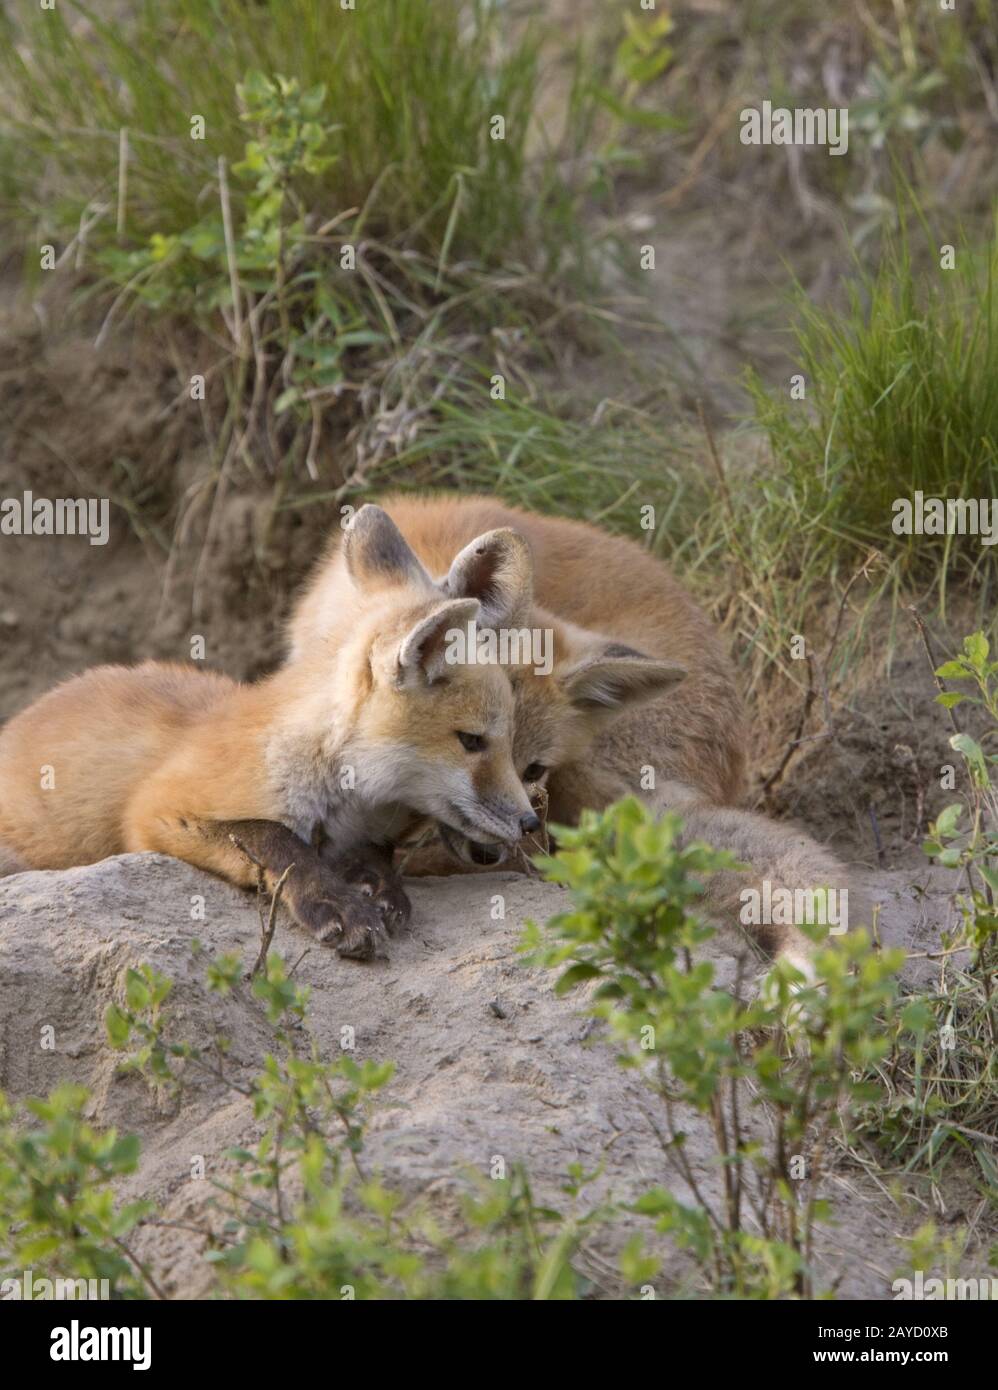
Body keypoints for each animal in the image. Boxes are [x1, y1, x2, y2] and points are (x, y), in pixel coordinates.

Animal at [0, 506, 548, 960]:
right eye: (472, 741)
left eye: (506, 741)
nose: (529, 823)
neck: (345, 792)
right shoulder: (156, 813)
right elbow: (275, 840)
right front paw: (335, 902)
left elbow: (374, 853)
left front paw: (379, 886)